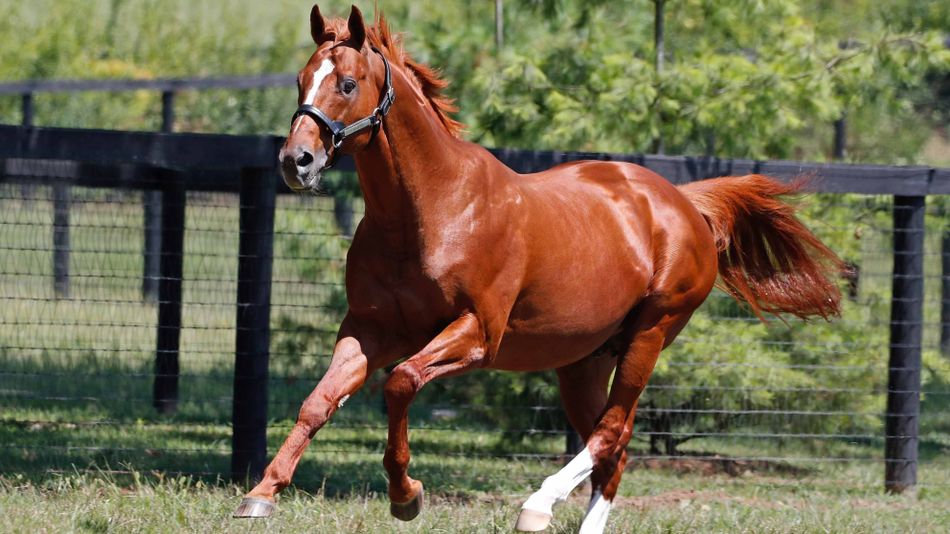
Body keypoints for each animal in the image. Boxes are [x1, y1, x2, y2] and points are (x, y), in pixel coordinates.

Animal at [233, 5, 843, 532]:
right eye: (300, 80)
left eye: (347, 83)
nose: (296, 161)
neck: (430, 210)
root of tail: (684, 204)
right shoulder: (369, 328)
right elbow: (318, 401)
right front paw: (261, 495)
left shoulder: (477, 334)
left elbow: (401, 382)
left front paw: (406, 496)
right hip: (582, 363)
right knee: (614, 452)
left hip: (650, 333)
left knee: (612, 431)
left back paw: (537, 504)